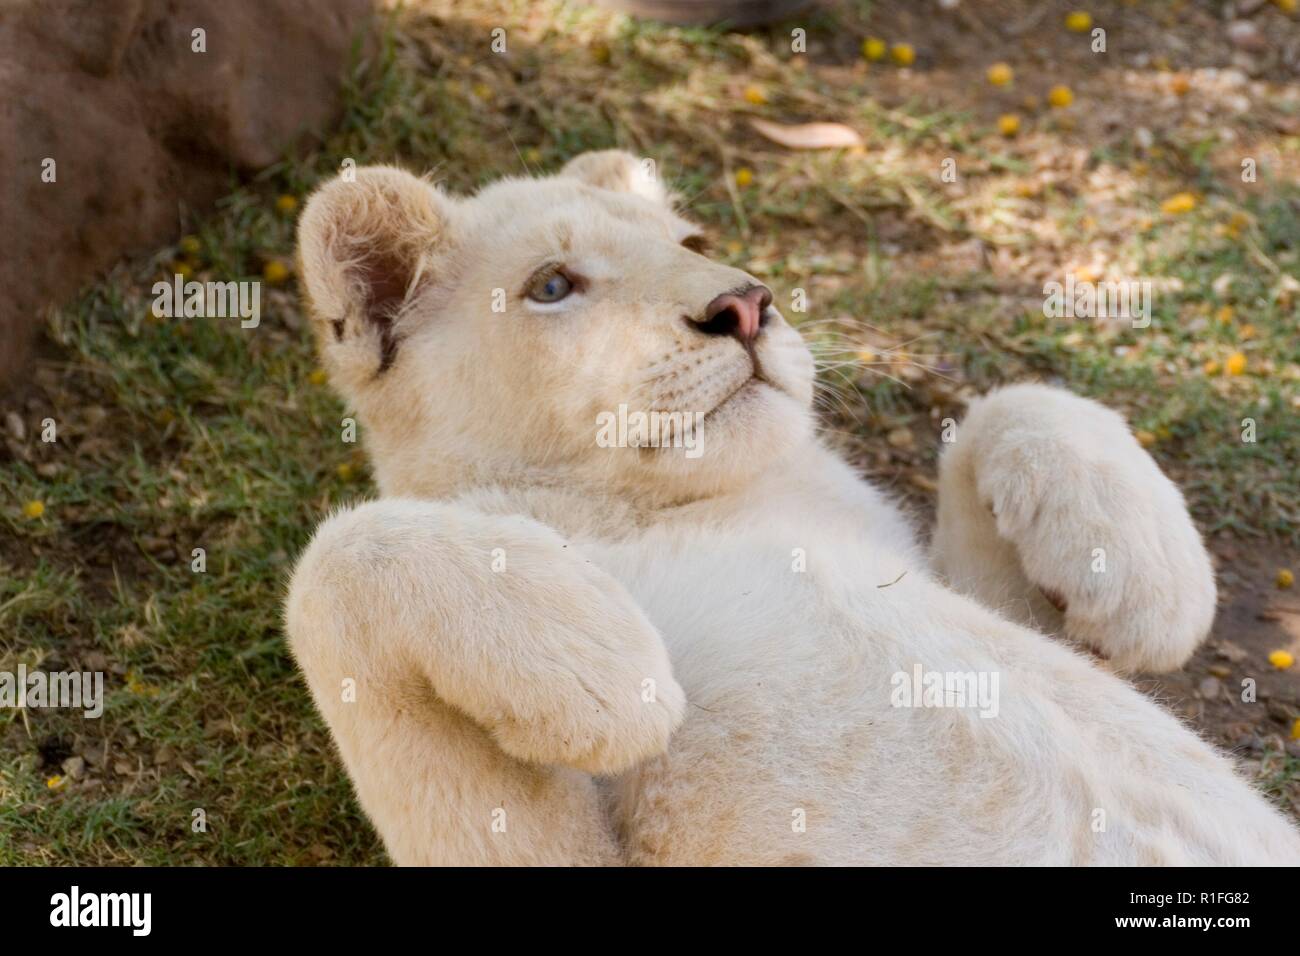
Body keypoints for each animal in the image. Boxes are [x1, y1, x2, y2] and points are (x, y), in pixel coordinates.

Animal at [284, 150, 1300, 865]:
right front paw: (597, 669)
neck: (711, 500)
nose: (745, 304)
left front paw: (1149, 592)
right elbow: (333, 559)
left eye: (691, 245)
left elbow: (1005, 405)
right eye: (553, 286)